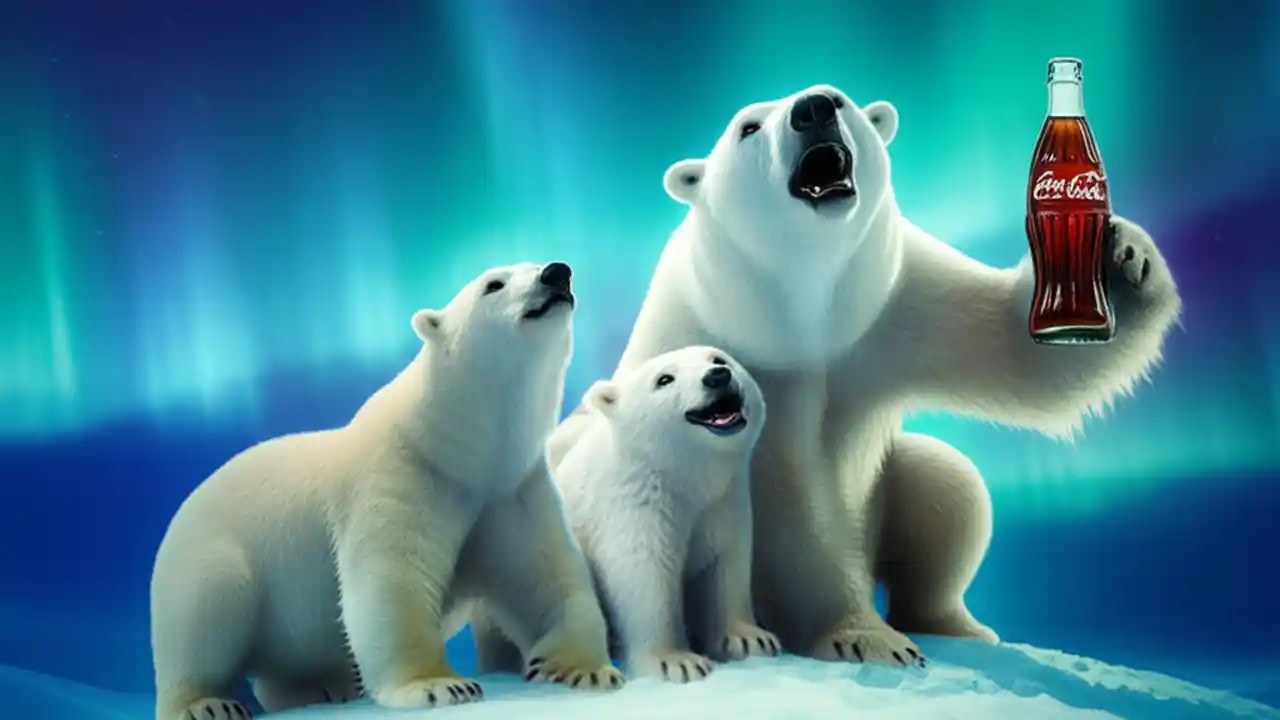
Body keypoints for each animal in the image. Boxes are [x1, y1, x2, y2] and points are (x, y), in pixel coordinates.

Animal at [150, 262, 622, 720]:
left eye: (541, 264)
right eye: (494, 283)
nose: (557, 273)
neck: (457, 449)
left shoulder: (510, 489)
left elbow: (544, 575)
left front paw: (583, 669)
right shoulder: (399, 473)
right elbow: (391, 578)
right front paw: (440, 685)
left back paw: (322, 687)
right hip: (210, 556)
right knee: (204, 613)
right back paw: (207, 703)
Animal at [549, 346, 780, 683]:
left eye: (718, 359)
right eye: (664, 379)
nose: (717, 377)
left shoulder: (722, 503)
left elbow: (726, 563)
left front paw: (751, 638)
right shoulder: (634, 502)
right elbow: (644, 572)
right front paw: (675, 661)